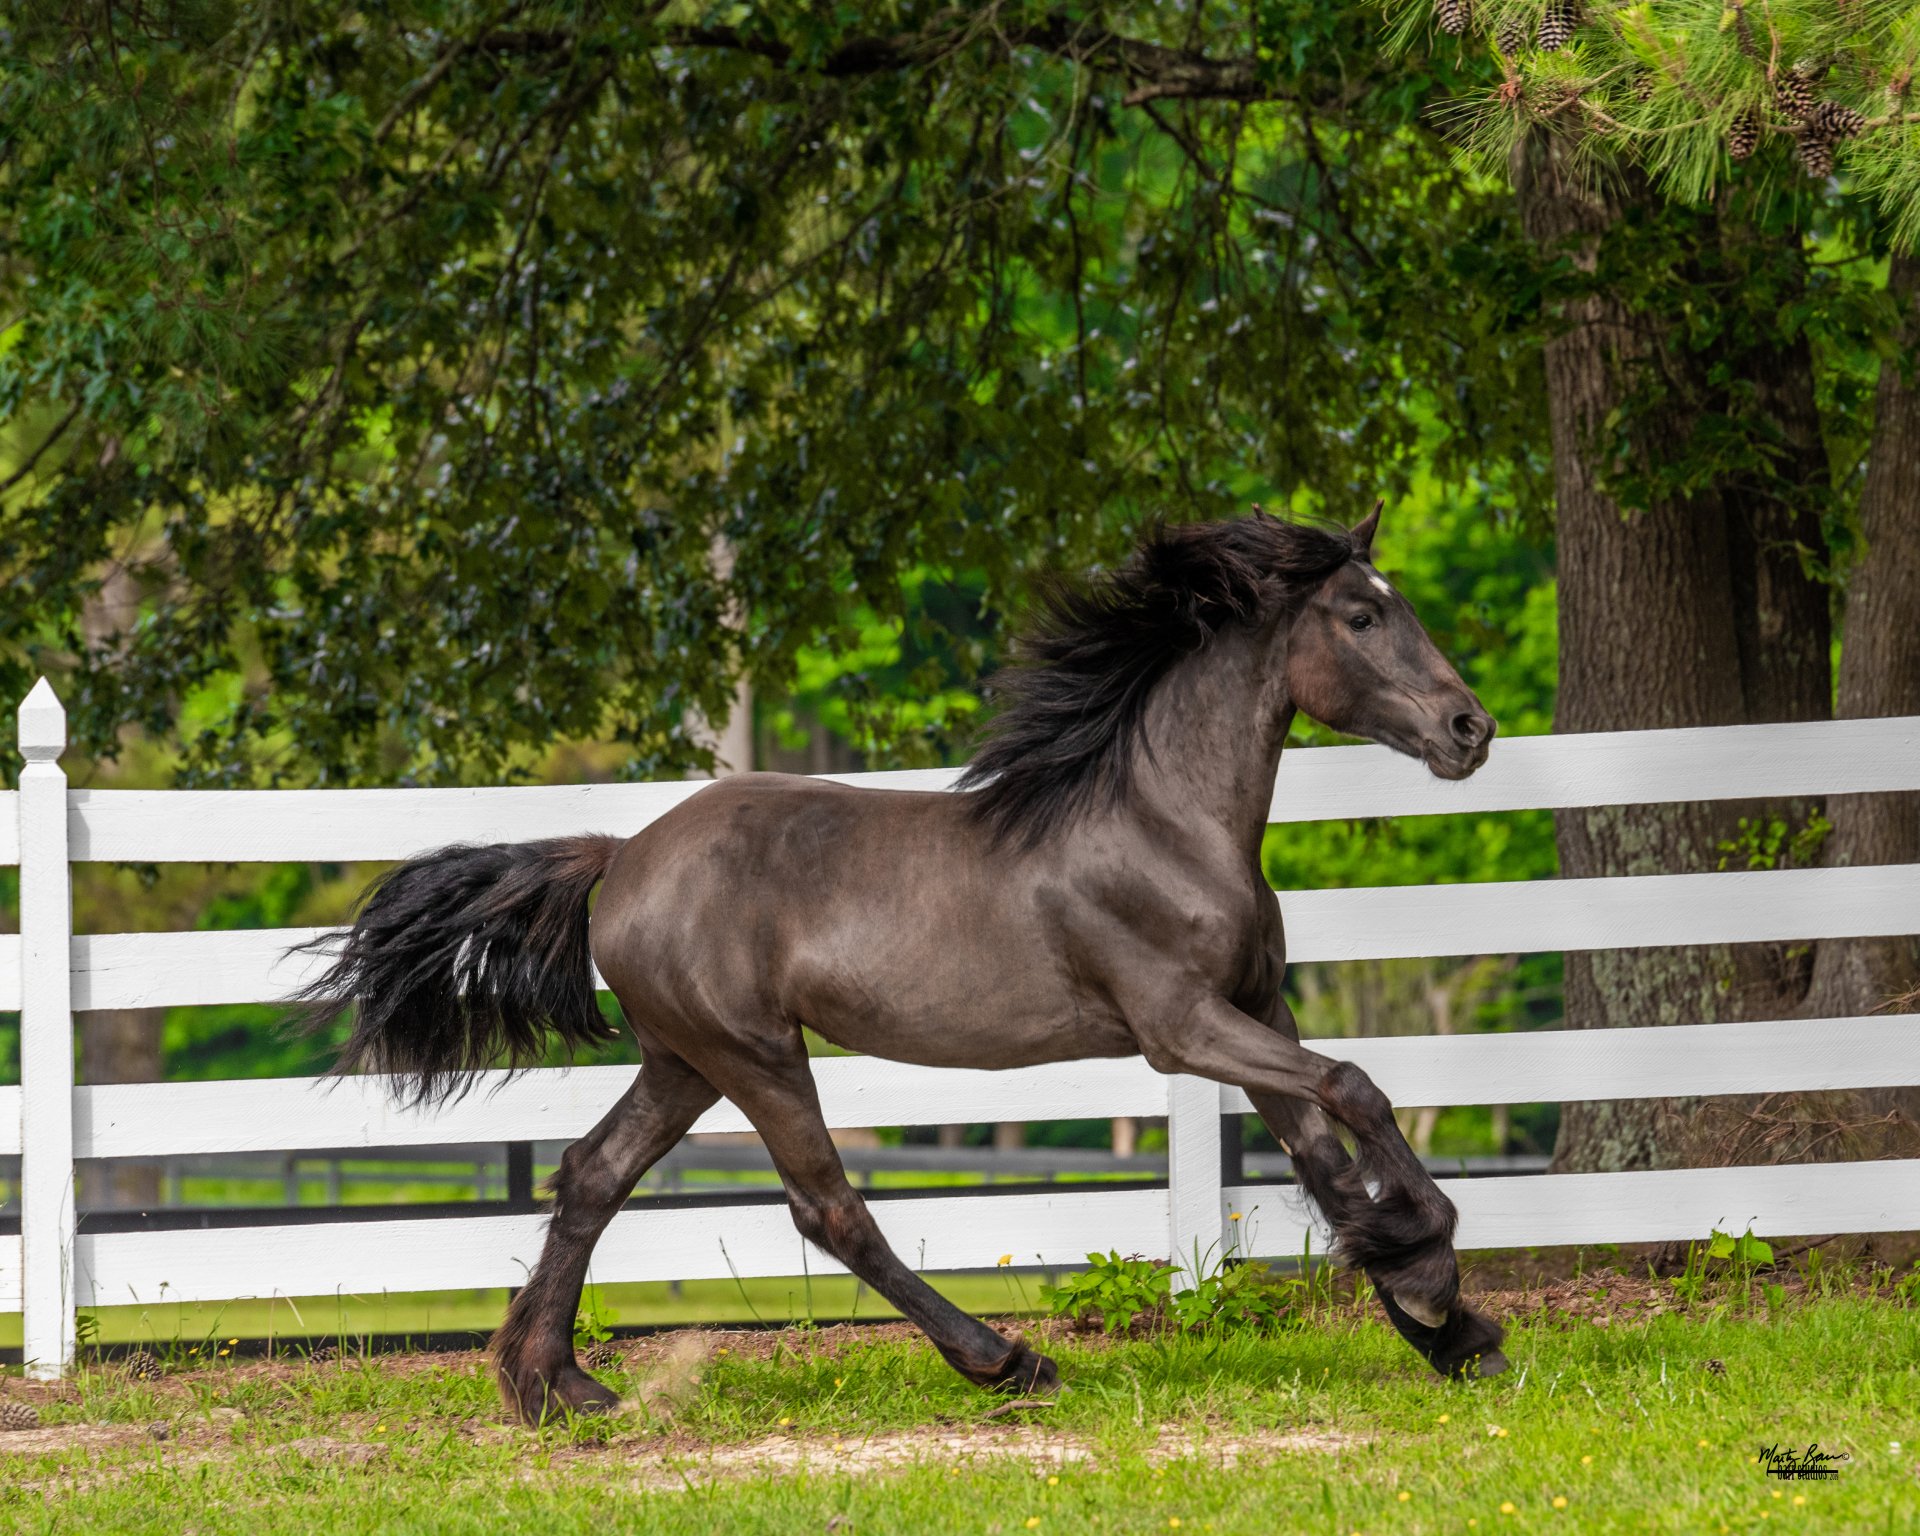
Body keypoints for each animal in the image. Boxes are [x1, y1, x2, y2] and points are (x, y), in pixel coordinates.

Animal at [298, 504, 1506, 1423]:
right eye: (1362, 614)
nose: (1471, 730)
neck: (1164, 824)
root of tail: (621, 857)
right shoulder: (1180, 1026)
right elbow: (1357, 1089)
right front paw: (1434, 1277)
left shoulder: (1255, 1008)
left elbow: (1323, 1153)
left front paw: (1443, 1327)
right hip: (757, 1056)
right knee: (828, 1208)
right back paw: (1009, 1361)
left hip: (684, 1062)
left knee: (593, 1174)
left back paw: (555, 1387)